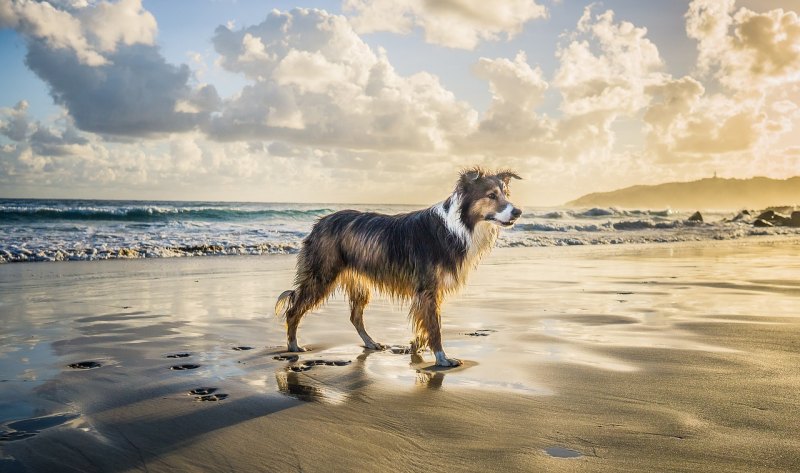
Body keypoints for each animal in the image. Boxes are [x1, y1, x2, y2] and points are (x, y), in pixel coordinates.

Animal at [276, 168, 524, 366]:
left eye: (505, 194)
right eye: (491, 195)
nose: (518, 212)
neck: (459, 226)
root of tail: (320, 223)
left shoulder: (430, 292)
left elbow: (426, 323)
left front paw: (416, 345)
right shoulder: (427, 289)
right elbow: (435, 326)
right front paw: (442, 358)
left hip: (358, 282)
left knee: (355, 317)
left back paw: (371, 343)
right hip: (322, 275)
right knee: (294, 310)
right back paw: (294, 346)